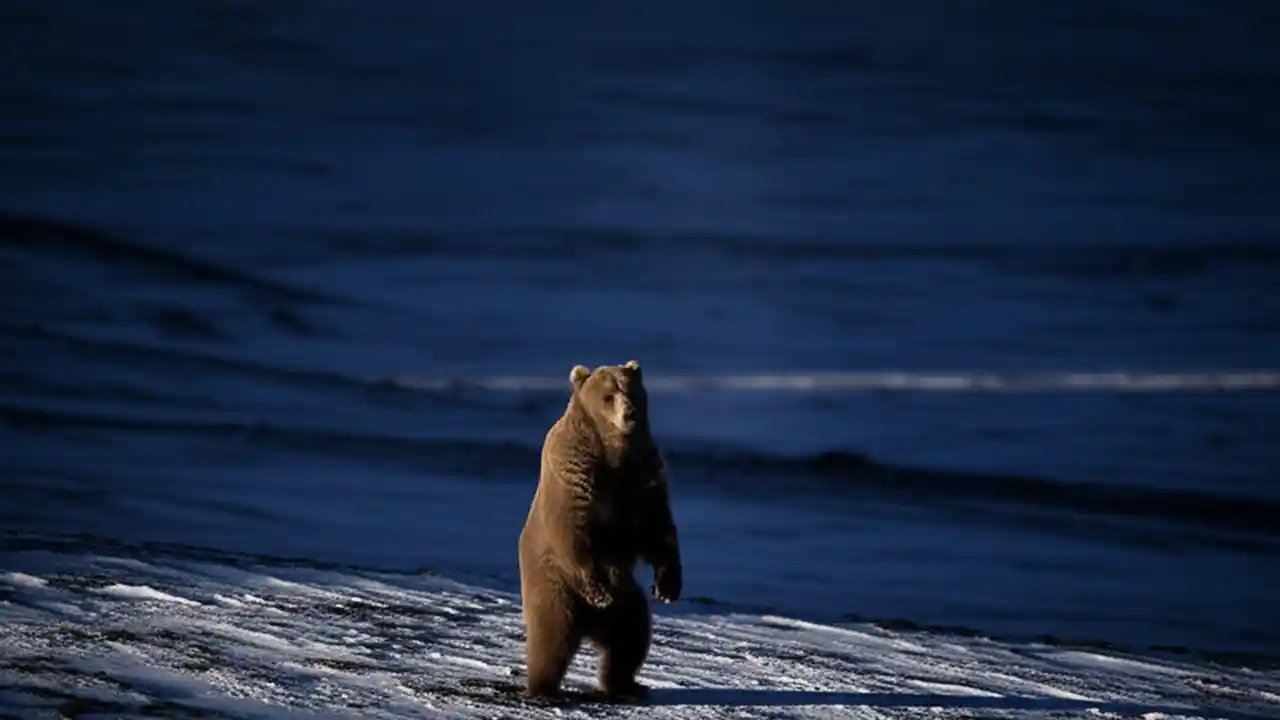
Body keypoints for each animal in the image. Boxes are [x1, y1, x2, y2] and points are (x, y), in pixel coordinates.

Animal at [517, 360, 682, 702]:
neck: (613, 450)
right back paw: (543, 688)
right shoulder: (574, 472)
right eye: (608, 396)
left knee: (631, 639)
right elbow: (574, 531)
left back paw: (627, 685)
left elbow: (656, 528)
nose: (630, 414)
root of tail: (590, 625)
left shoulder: (644, 474)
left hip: (626, 604)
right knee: (550, 639)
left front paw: (668, 586)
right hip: (555, 588)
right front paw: (597, 589)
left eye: (631, 391)